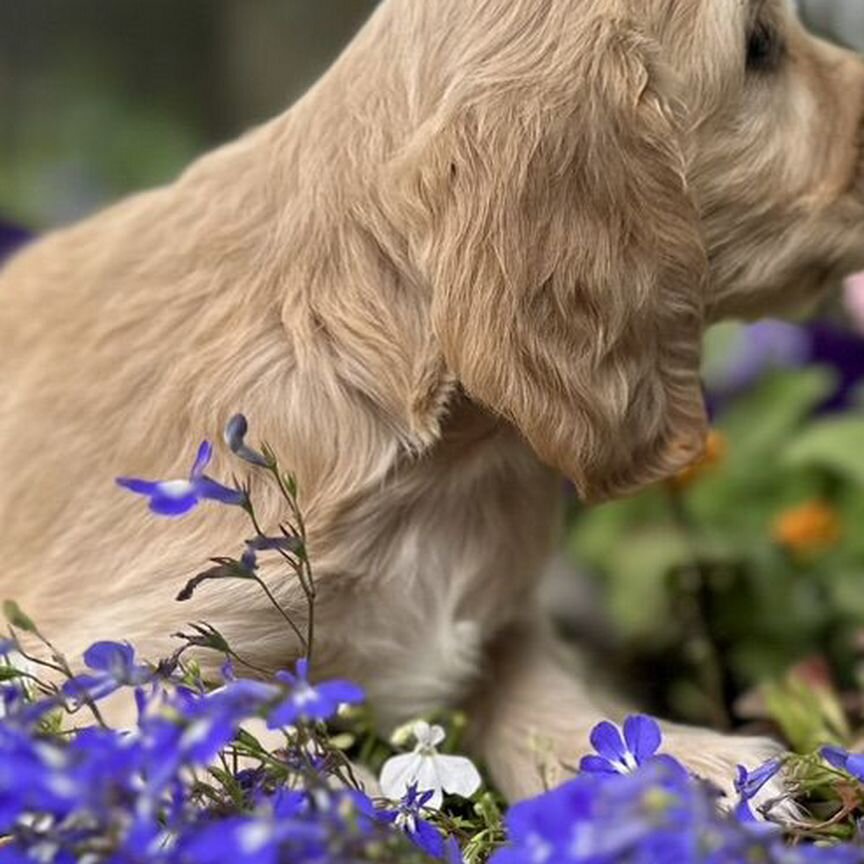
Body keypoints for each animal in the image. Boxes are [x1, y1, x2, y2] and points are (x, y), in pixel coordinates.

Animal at [1, 0, 864, 804]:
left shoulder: (508, 622)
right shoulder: (100, 669)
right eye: (759, 44)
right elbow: (290, 763)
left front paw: (687, 769)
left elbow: (556, 705)